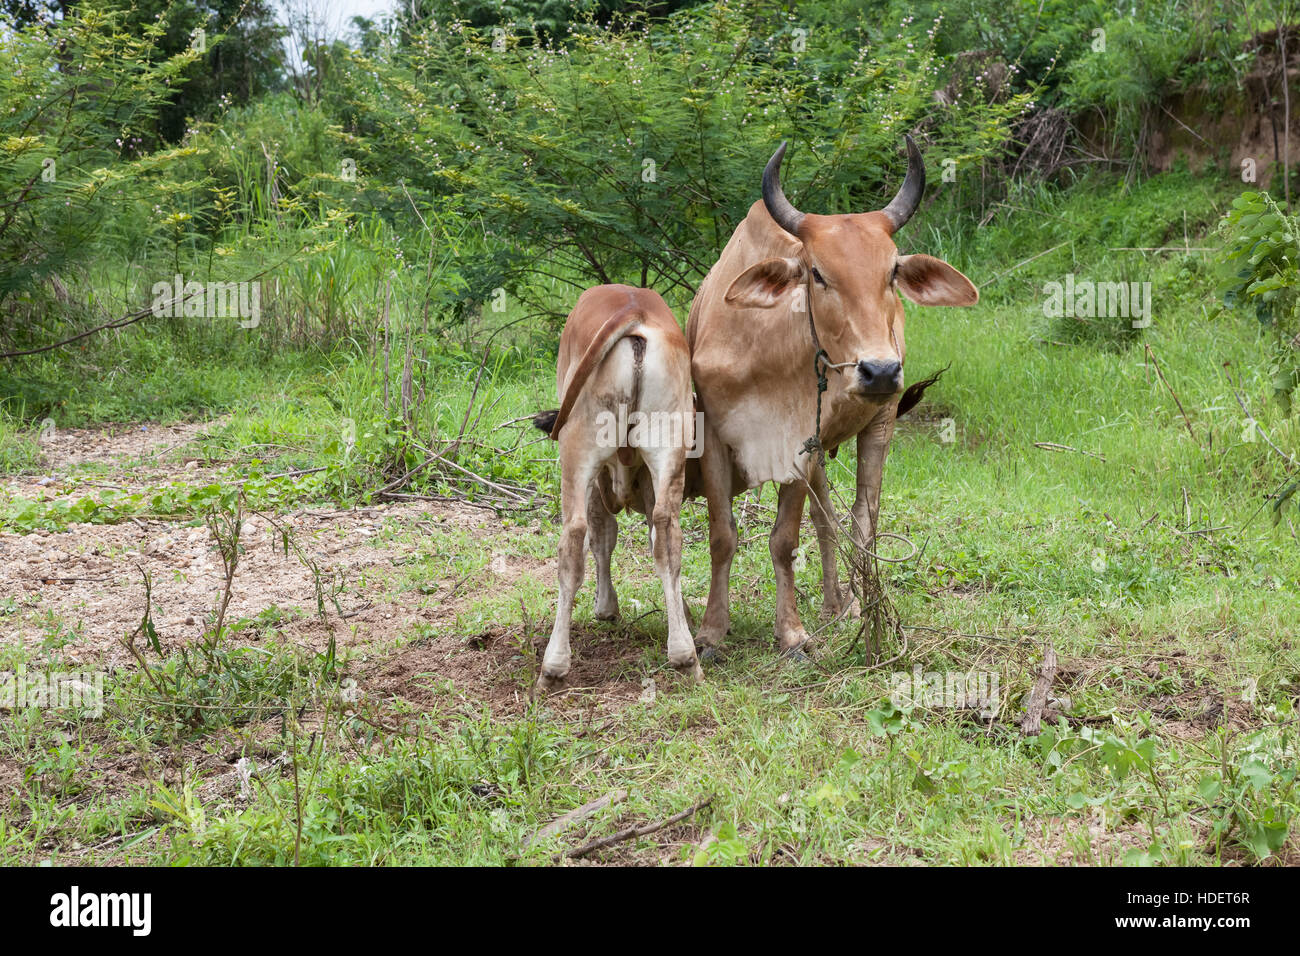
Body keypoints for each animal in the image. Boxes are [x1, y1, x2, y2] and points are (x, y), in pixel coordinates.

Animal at [532, 284, 703, 694]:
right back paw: (685, 655)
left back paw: (554, 665)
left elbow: (602, 537)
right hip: (668, 447)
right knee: (667, 533)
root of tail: (634, 310)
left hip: (578, 450)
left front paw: (606, 607)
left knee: (573, 538)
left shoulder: (596, 482)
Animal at [686, 137, 979, 657]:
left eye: (891, 272)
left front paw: (791, 633)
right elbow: (723, 535)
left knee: (861, 520)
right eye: (818, 274)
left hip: (877, 425)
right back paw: (834, 603)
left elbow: (785, 539)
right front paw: (712, 632)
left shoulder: (800, 445)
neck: (765, 351)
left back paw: (854, 605)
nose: (880, 370)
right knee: (827, 520)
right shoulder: (715, 437)